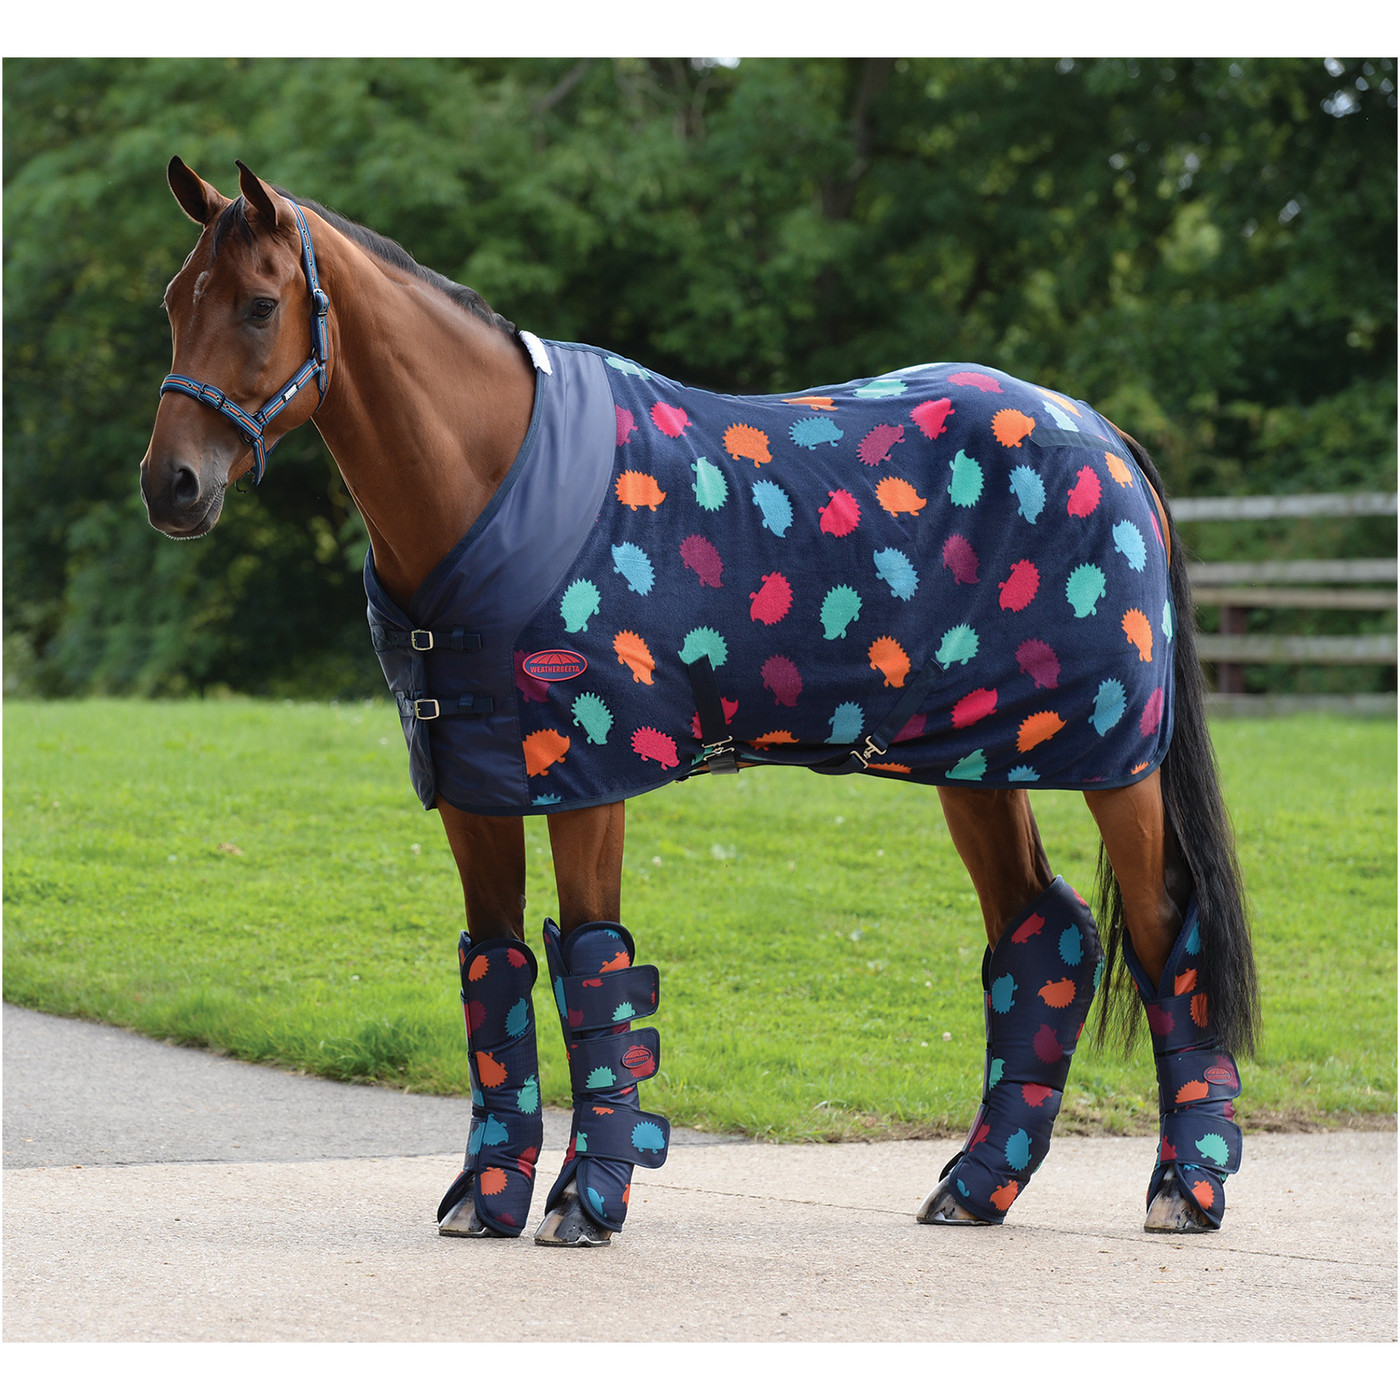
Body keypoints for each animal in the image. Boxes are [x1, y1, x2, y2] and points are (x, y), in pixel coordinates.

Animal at [141, 158, 1259, 1246]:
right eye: (171, 303)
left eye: (258, 305)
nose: (171, 486)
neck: (489, 476)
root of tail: (1101, 431)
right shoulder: (473, 782)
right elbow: (495, 972)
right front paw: (487, 1200)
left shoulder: (588, 774)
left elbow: (593, 969)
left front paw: (586, 1200)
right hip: (982, 761)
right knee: (1040, 930)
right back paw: (977, 1187)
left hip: (1115, 763)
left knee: (1162, 927)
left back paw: (1186, 1188)